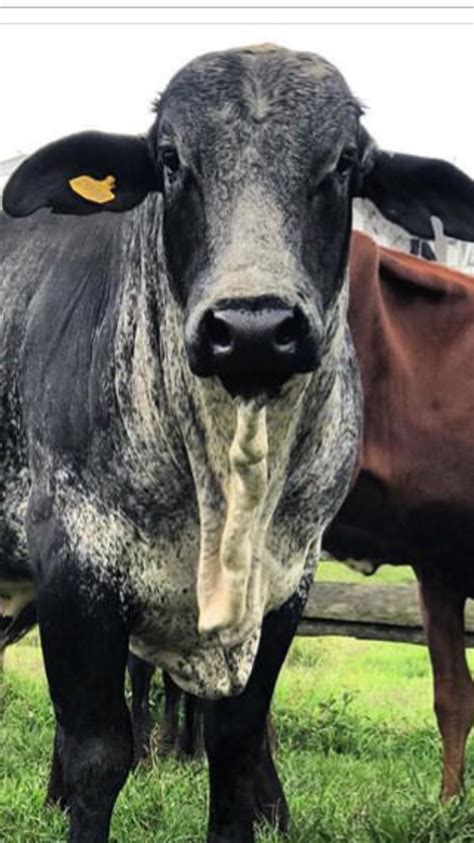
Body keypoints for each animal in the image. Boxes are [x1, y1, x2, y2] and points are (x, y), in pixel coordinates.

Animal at [2, 44, 474, 842]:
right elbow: (99, 753)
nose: (253, 327)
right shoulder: (74, 568)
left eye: (346, 161)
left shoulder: (285, 586)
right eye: (169, 159)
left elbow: (238, 748)